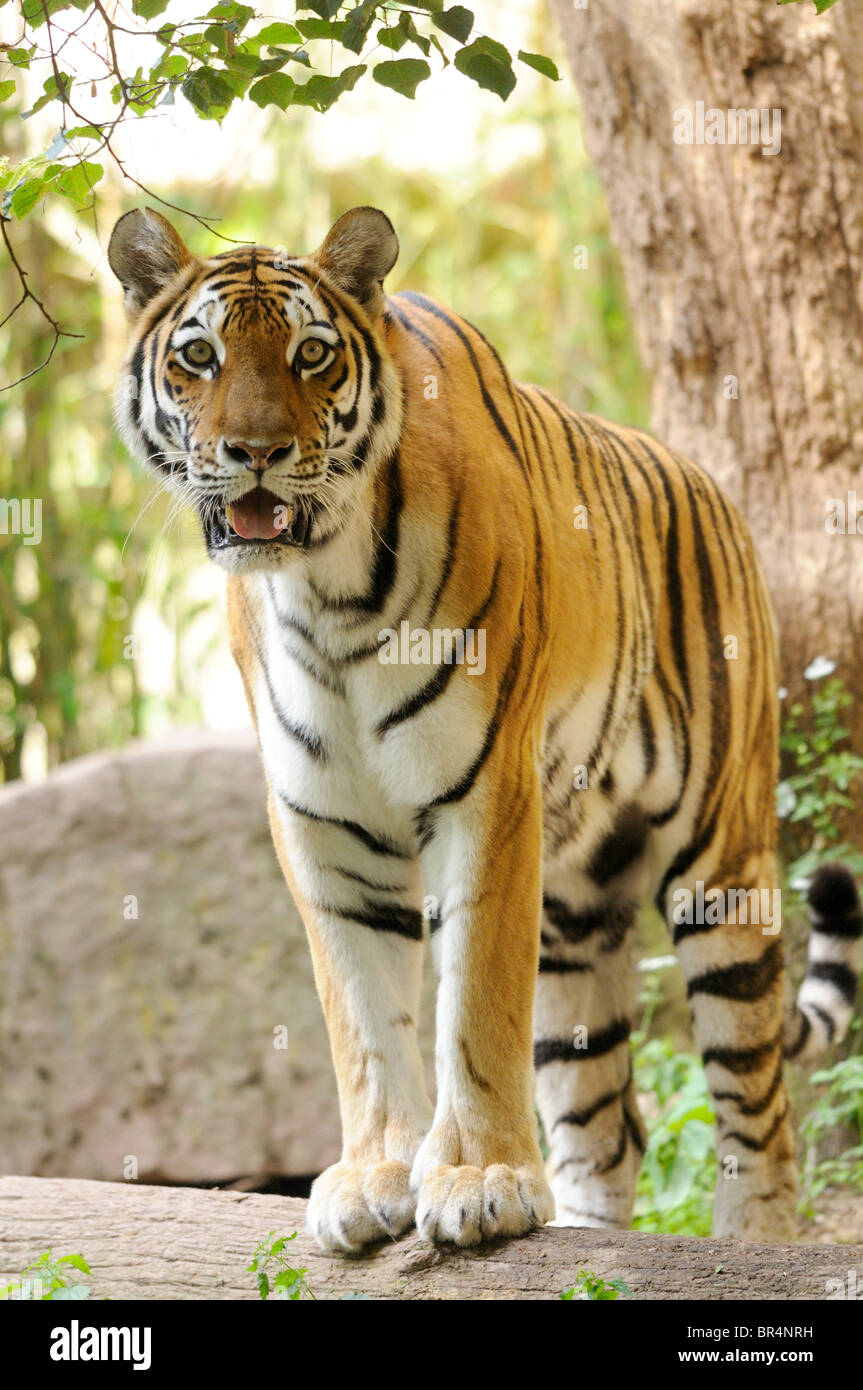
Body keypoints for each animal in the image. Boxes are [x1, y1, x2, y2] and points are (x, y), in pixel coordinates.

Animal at [108, 204, 862, 1252]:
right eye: (198, 356)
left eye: (310, 355)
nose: (254, 452)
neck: (324, 592)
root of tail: (711, 487)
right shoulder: (323, 827)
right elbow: (361, 1017)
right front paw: (372, 1176)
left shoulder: (485, 795)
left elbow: (471, 1007)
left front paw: (478, 1179)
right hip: (576, 910)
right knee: (607, 1121)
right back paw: (584, 1233)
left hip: (722, 863)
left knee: (759, 1105)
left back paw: (753, 1242)